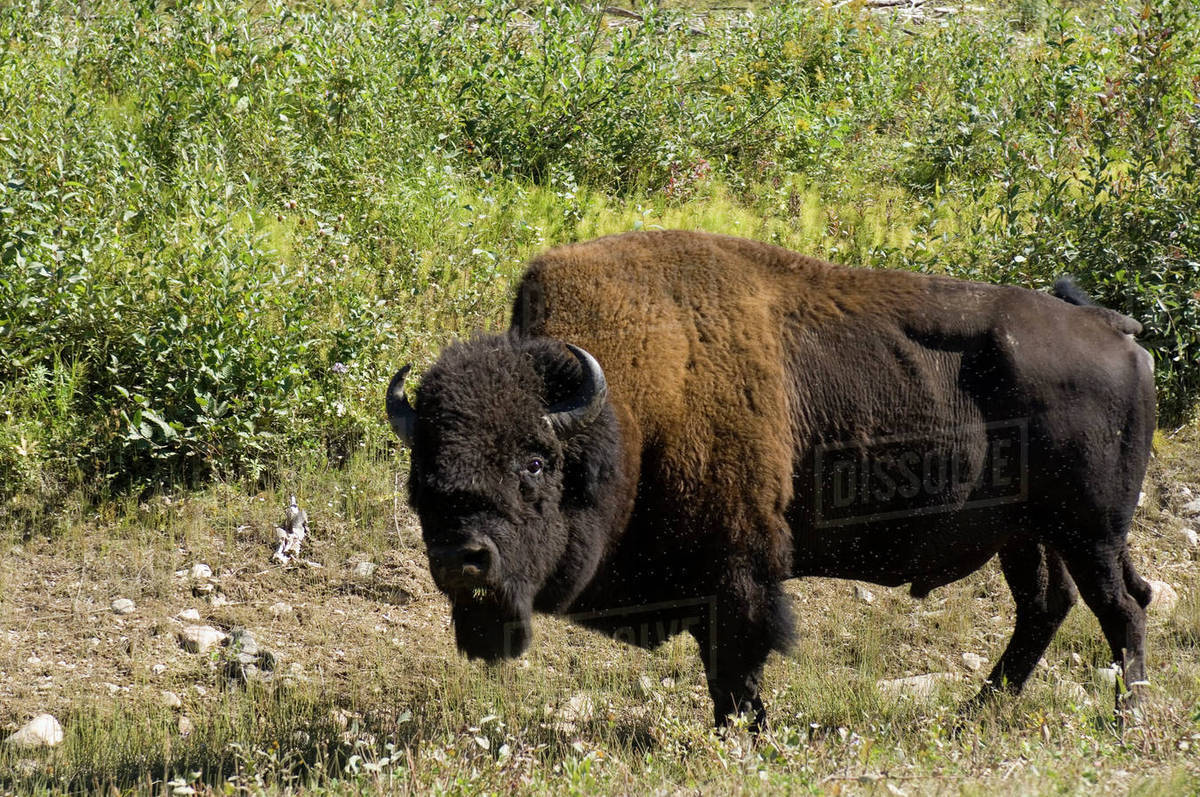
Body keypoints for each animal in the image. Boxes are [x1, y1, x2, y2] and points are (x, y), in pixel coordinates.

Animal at [387, 230, 1155, 728]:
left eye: (534, 460)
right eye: (421, 475)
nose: (461, 558)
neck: (634, 400)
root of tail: (1112, 327)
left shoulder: (738, 568)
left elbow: (737, 661)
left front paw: (744, 735)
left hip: (1088, 532)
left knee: (1119, 607)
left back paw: (1124, 721)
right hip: (1030, 536)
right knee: (1050, 606)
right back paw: (974, 713)